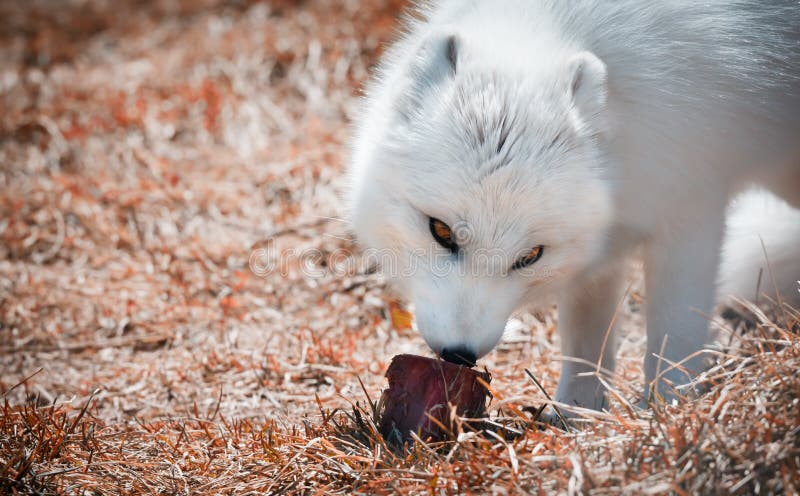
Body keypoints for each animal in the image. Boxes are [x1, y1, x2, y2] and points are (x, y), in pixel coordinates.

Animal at [348, 0, 800, 413]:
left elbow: (675, 336)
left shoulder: (692, 209)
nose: (459, 354)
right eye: (440, 231)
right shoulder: (603, 245)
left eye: (530, 256)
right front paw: (575, 413)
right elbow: (587, 338)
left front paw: (665, 412)